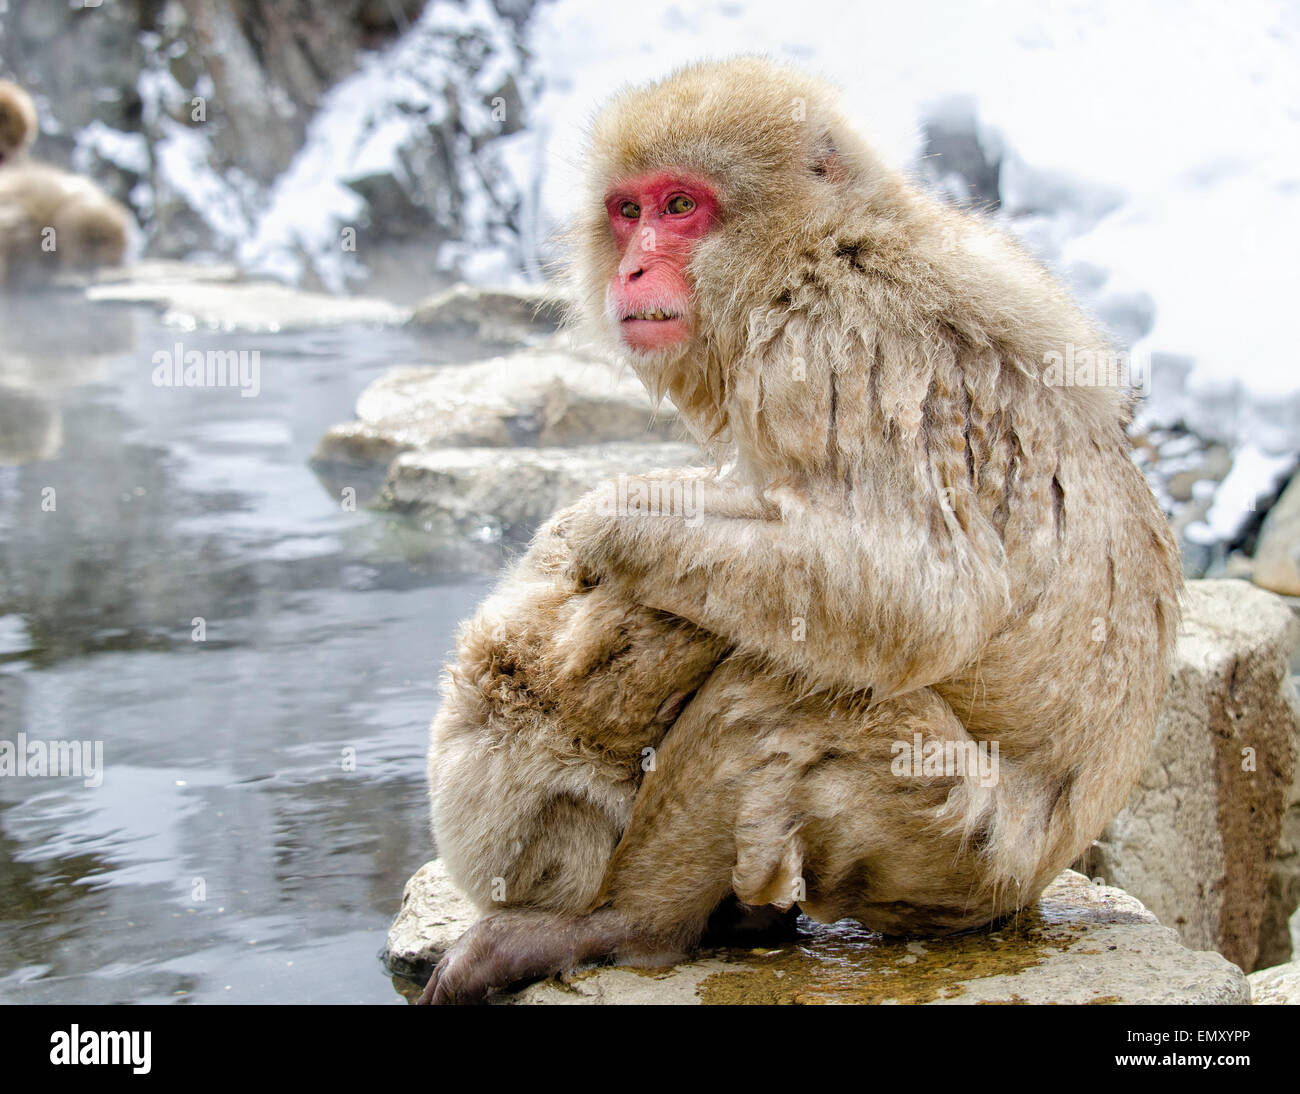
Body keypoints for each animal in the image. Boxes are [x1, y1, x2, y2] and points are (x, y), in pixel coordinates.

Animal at [418, 57, 1182, 1004]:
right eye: (628, 210)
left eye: (681, 206)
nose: (632, 269)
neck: (809, 249)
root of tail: (1035, 878)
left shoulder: (829, 345)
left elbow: (924, 597)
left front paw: (606, 528)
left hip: (957, 851)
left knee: (785, 691)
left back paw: (626, 922)